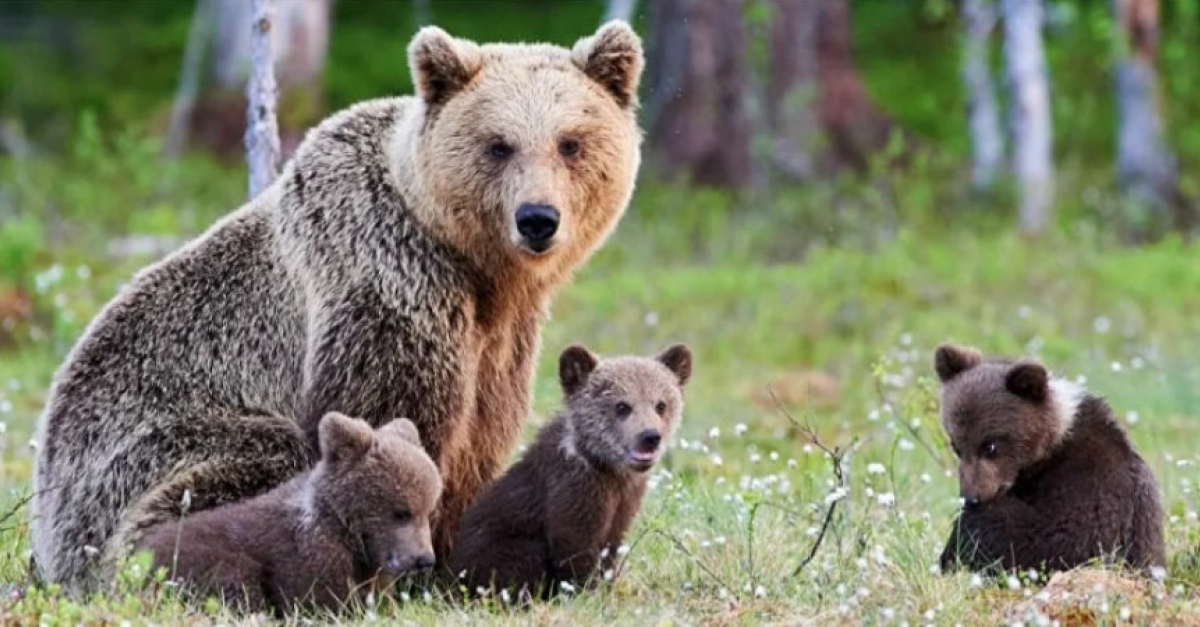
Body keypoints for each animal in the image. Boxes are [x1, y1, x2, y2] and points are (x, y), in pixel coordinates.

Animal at [32, 21, 645, 592]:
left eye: (570, 142)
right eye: (498, 144)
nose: (537, 219)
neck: (475, 268)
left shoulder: (501, 339)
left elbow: (480, 438)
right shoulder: (385, 281)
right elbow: (388, 423)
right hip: (140, 457)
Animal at [446, 344, 691, 599]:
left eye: (661, 405)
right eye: (622, 406)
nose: (650, 437)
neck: (609, 470)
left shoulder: (624, 502)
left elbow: (611, 548)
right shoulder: (573, 493)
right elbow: (573, 550)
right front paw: (584, 592)